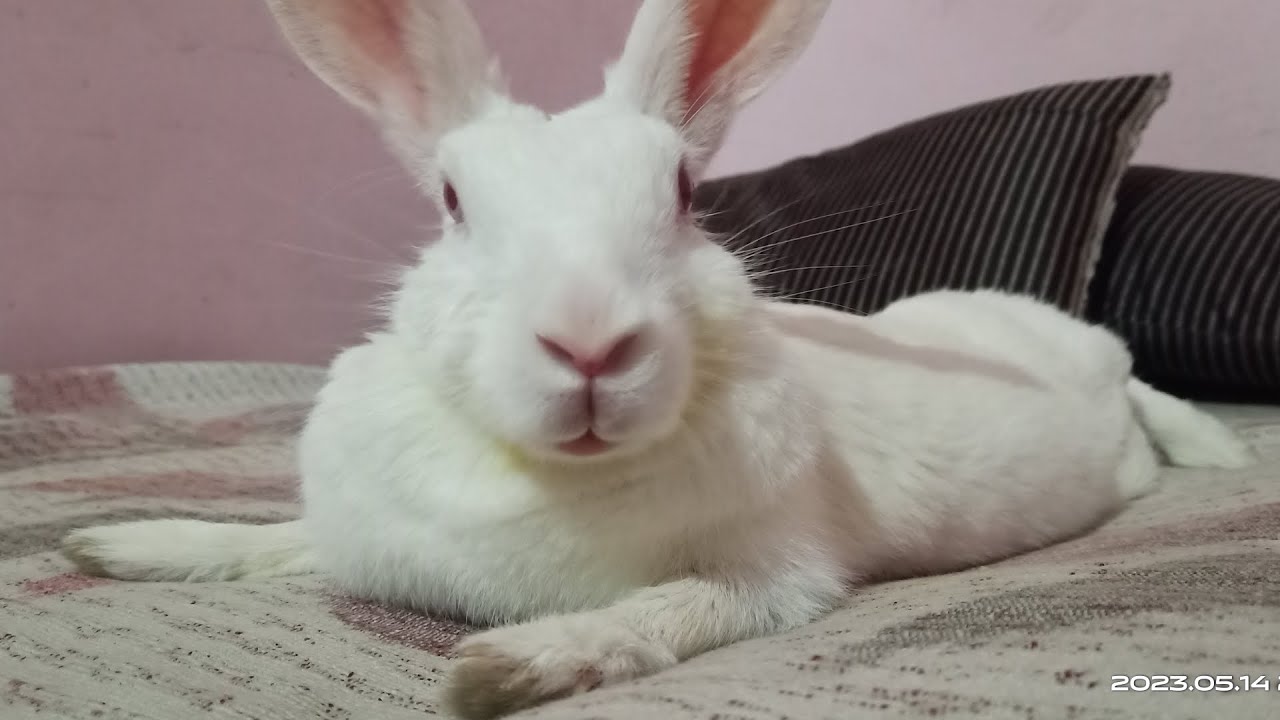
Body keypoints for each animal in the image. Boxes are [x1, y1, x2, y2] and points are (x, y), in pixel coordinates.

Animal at [60, 0, 1256, 718]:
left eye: (682, 194)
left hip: (1113, 413)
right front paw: (121, 543)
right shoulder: (354, 537)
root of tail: (1078, 343)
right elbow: (273, 544)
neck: (546, 475)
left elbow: (658, 616)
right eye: (452, 202)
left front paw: (506, 667)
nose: (589, 341)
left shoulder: (771, 578)